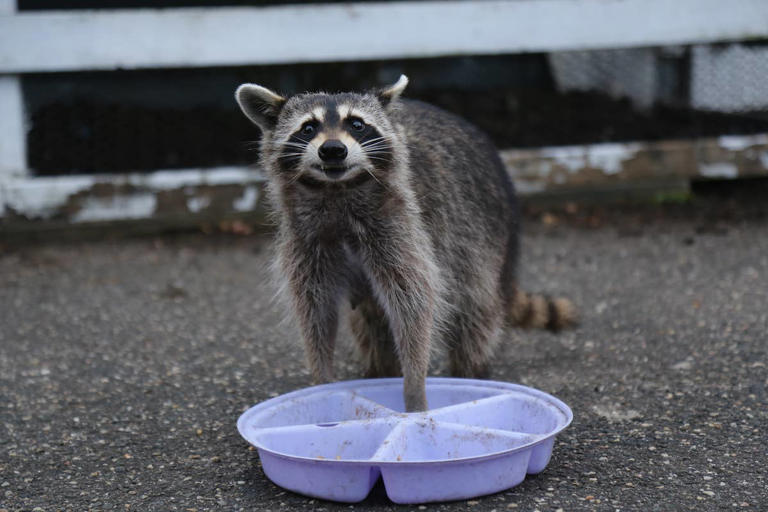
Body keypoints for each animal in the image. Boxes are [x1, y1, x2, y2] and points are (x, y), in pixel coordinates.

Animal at [235, 75, 575, 412]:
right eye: (308, 128)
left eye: (356, 124)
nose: (332, 149)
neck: (337, 190)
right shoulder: (306, 241)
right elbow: (315, 309)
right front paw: (323, 381)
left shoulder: (402, 228)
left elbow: (415, 303)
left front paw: (414, 383)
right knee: (371, 323)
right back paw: (379, 369)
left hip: (483, 239)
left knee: (474, 312)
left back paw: (470, 369)